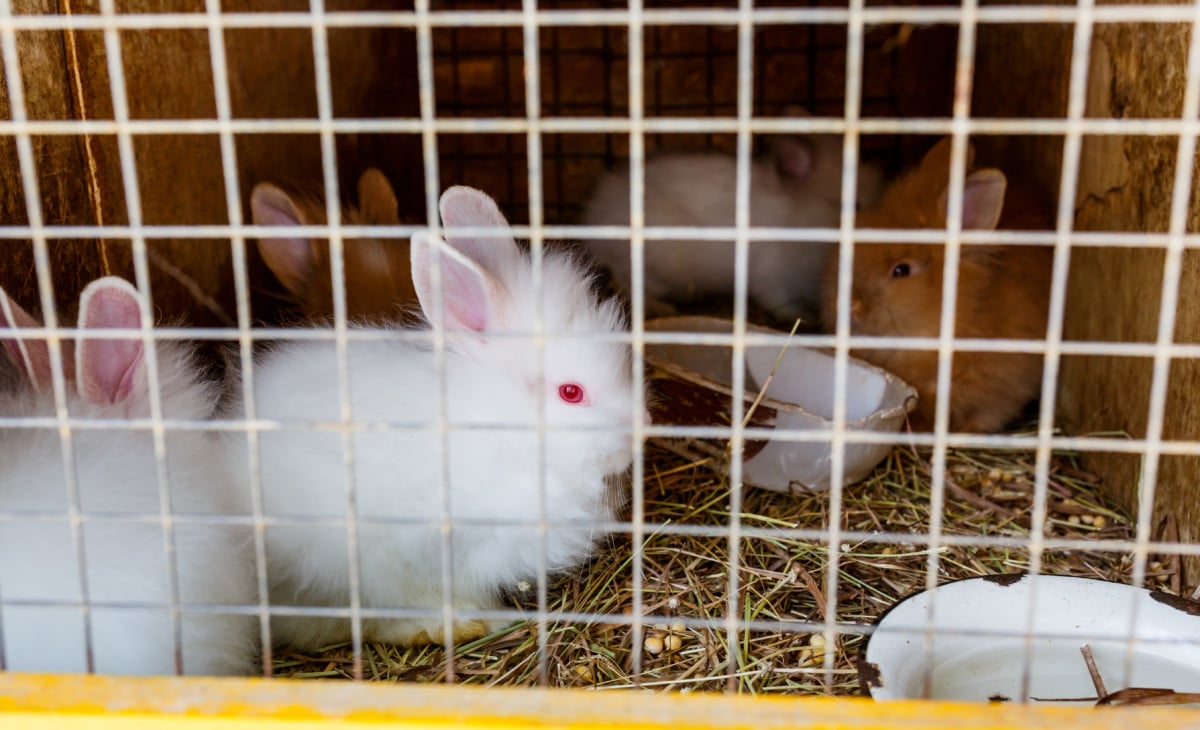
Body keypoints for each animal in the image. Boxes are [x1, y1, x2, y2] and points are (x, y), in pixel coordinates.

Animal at [579, 106, 885, 324]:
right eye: (853, 206)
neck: (798, 217)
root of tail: (597, 213)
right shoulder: (773, 279)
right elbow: (779, 302)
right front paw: (804, 317)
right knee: (626, 280)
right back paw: (661, 306)